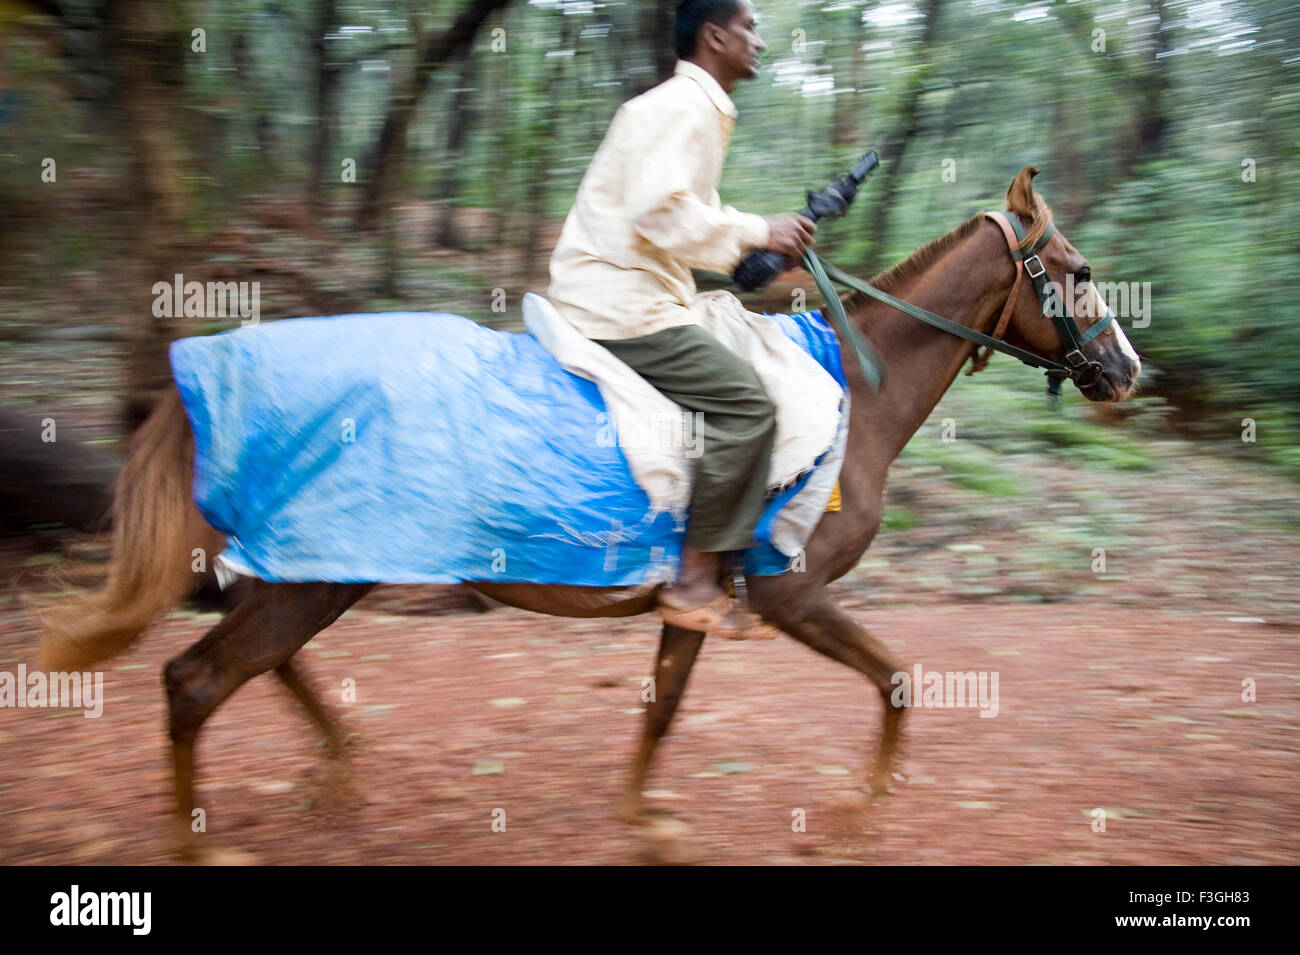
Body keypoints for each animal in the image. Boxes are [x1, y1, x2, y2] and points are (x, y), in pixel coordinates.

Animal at [35, 165, 1141, 858]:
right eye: (1080, 272)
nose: (1129, 371)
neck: (850, 397)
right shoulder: (789, 594)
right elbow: (900, 681)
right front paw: (857, 810)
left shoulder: (698, 598)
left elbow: (663, 705)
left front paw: (644, 819)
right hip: (321, 574)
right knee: (194, 681)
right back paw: (198, 838)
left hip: (314, 569)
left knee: (252, 665)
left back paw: (338, 773)